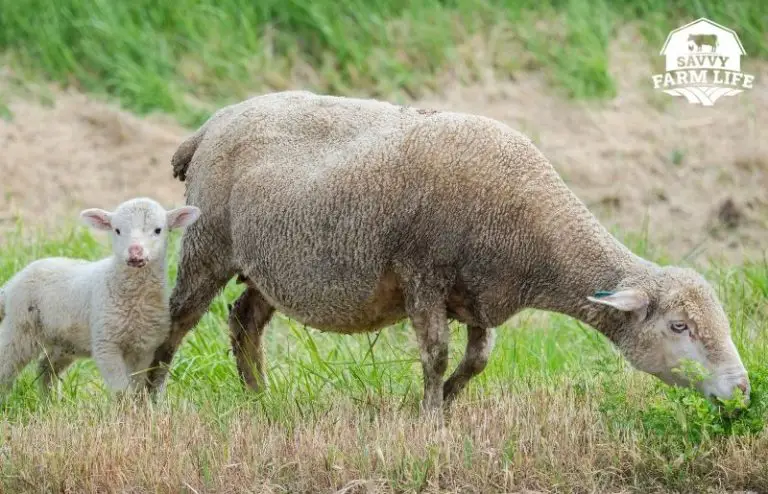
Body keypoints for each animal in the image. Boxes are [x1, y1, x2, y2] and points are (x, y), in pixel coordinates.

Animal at [0, 198, 200, 395]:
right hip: (20, 328)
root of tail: (11, 283)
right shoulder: (106, 344)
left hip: (65, 342)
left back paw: (49, 400)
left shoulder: (144, 347)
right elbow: (121, 391)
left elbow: (136, 388)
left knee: (45, 368)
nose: (135, 252)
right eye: (117, 230)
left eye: (158, 230)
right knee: (6, 365)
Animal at [145, 90, 750, 411]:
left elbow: (479, 359)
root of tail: (211, 124)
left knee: (244, 321)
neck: (535, 241)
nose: (743, 388)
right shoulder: (423, 275)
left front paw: (451, 401)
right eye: (678, 327)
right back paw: (151, 398)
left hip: (268, 265)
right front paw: (430, 415)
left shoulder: (480, 294)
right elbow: (435, 353)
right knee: (177, 319)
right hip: (208, 244)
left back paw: (260, 399)